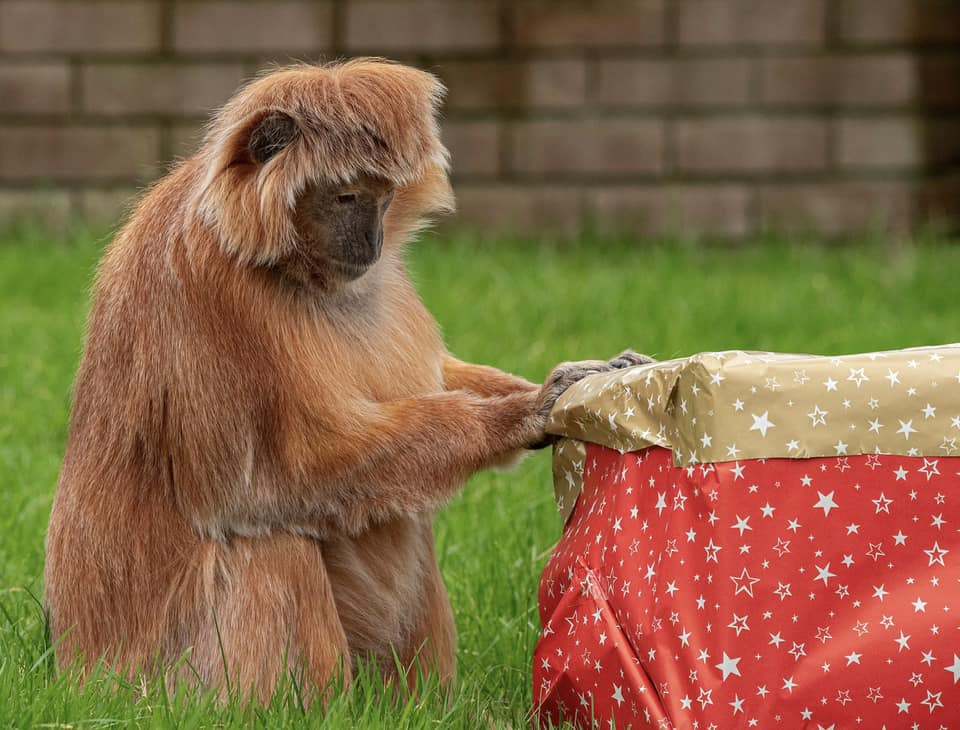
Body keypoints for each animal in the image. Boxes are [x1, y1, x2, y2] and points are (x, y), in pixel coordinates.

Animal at [44, 59, 648, 703]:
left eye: (383, 200)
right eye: (346, 196)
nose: (372, 241)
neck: (283, 264)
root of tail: (83, 671)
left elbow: (437, 375)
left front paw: (569, 384)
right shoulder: (206, 284)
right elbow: (274, 481)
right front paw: (525, 413)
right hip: (176, 675)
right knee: (275, 539)